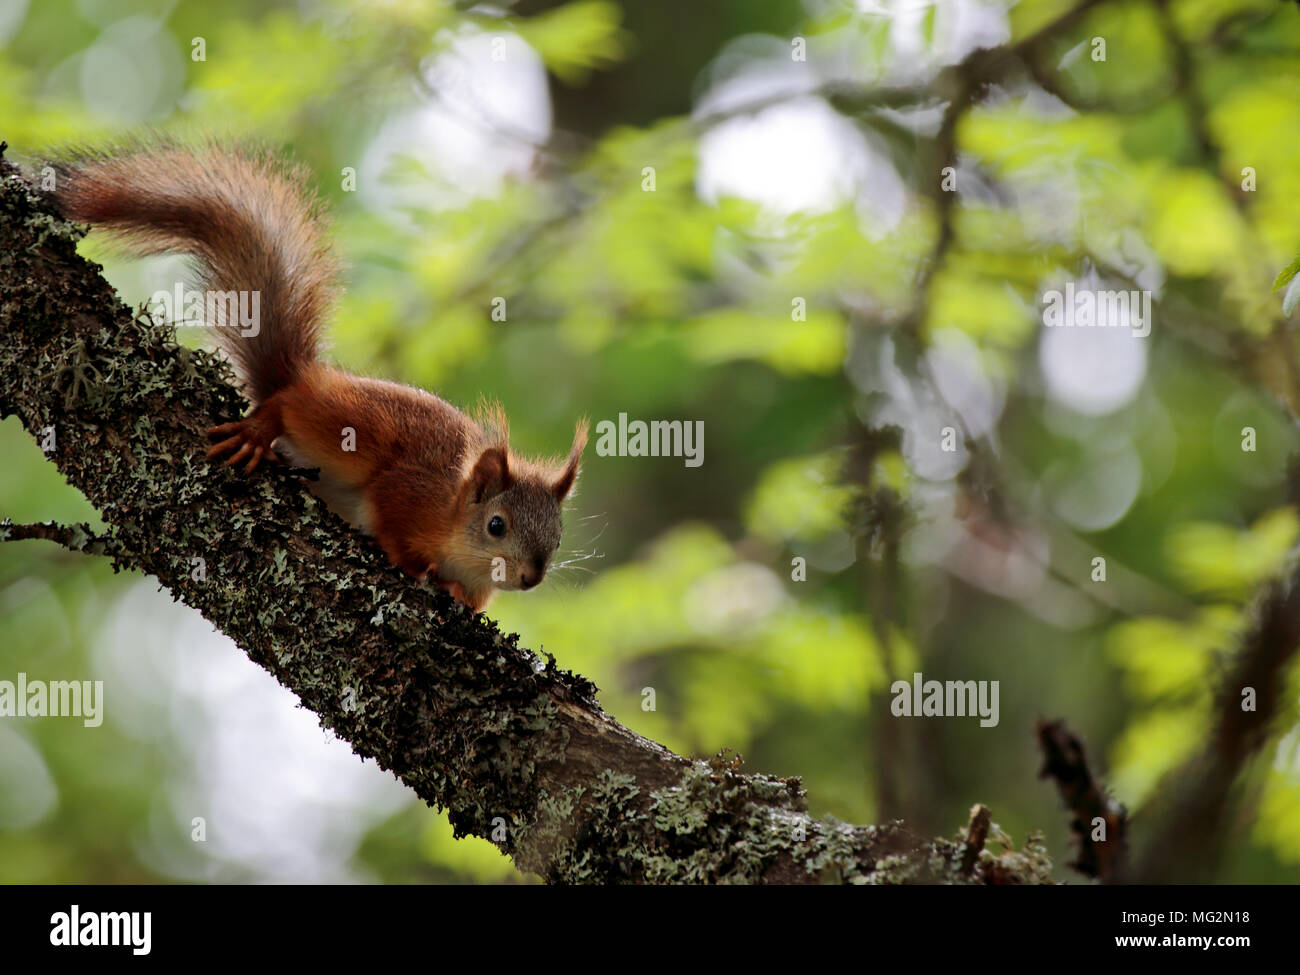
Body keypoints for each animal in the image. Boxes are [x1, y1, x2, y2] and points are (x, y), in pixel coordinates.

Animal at [47, 142, 588, 612]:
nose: (530, 577)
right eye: (496, 525)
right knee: (287, 406)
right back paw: (258, 431)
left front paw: (456, 591)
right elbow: (395, 528)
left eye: (559, 535)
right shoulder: (409, 493)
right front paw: (422, 570)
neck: (455, 512)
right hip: (339, 424)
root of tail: (306, 375)